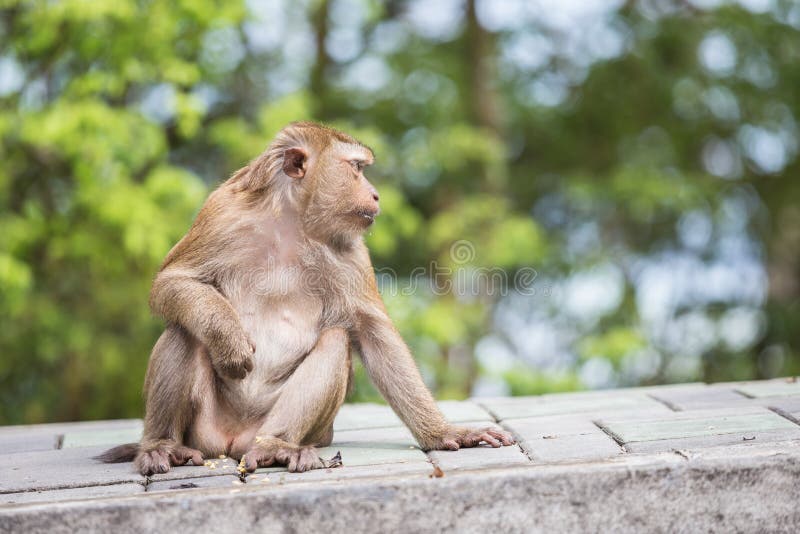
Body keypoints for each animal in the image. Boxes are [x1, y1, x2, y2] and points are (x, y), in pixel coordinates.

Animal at [98, 122, 515, 475]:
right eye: (357, 168)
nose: (375, 194)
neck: (291, 221)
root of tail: (231, 442)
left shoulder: (349, 249)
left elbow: (373, 333)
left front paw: (444, 433)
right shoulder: (221, 212)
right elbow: (174, 281)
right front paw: (227, 339)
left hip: (302, 431)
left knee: (335, 341)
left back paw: (276, 446)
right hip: (202, 431)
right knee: (183, 327)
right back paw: (162, 445)